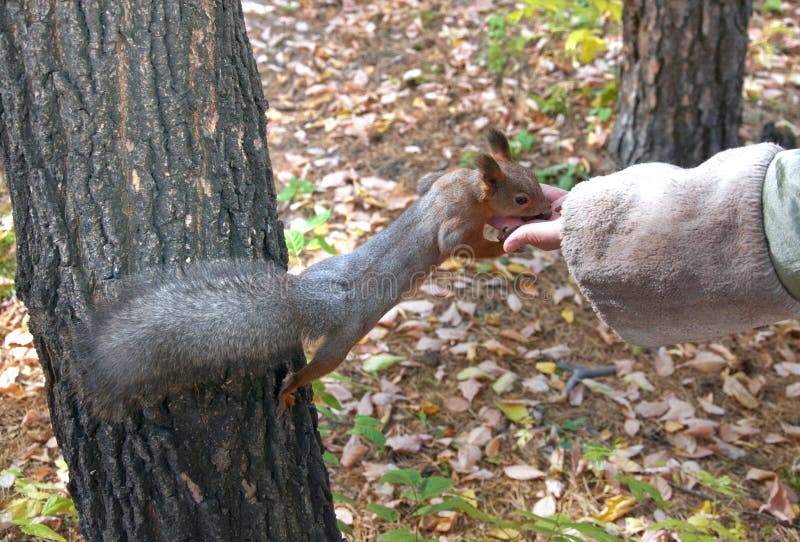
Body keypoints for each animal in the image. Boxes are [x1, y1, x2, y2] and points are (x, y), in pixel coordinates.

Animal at [75, 129, 552, 419]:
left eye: (536, 180)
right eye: (522, 198)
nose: (548, 207)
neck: (470, 187)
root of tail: (308, 299)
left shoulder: (437, 179)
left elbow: (423, 182)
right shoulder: (457, 221)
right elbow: (460, 245)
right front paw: (502, 244)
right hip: (340, 345)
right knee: (314, 369)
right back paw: (290, 388)